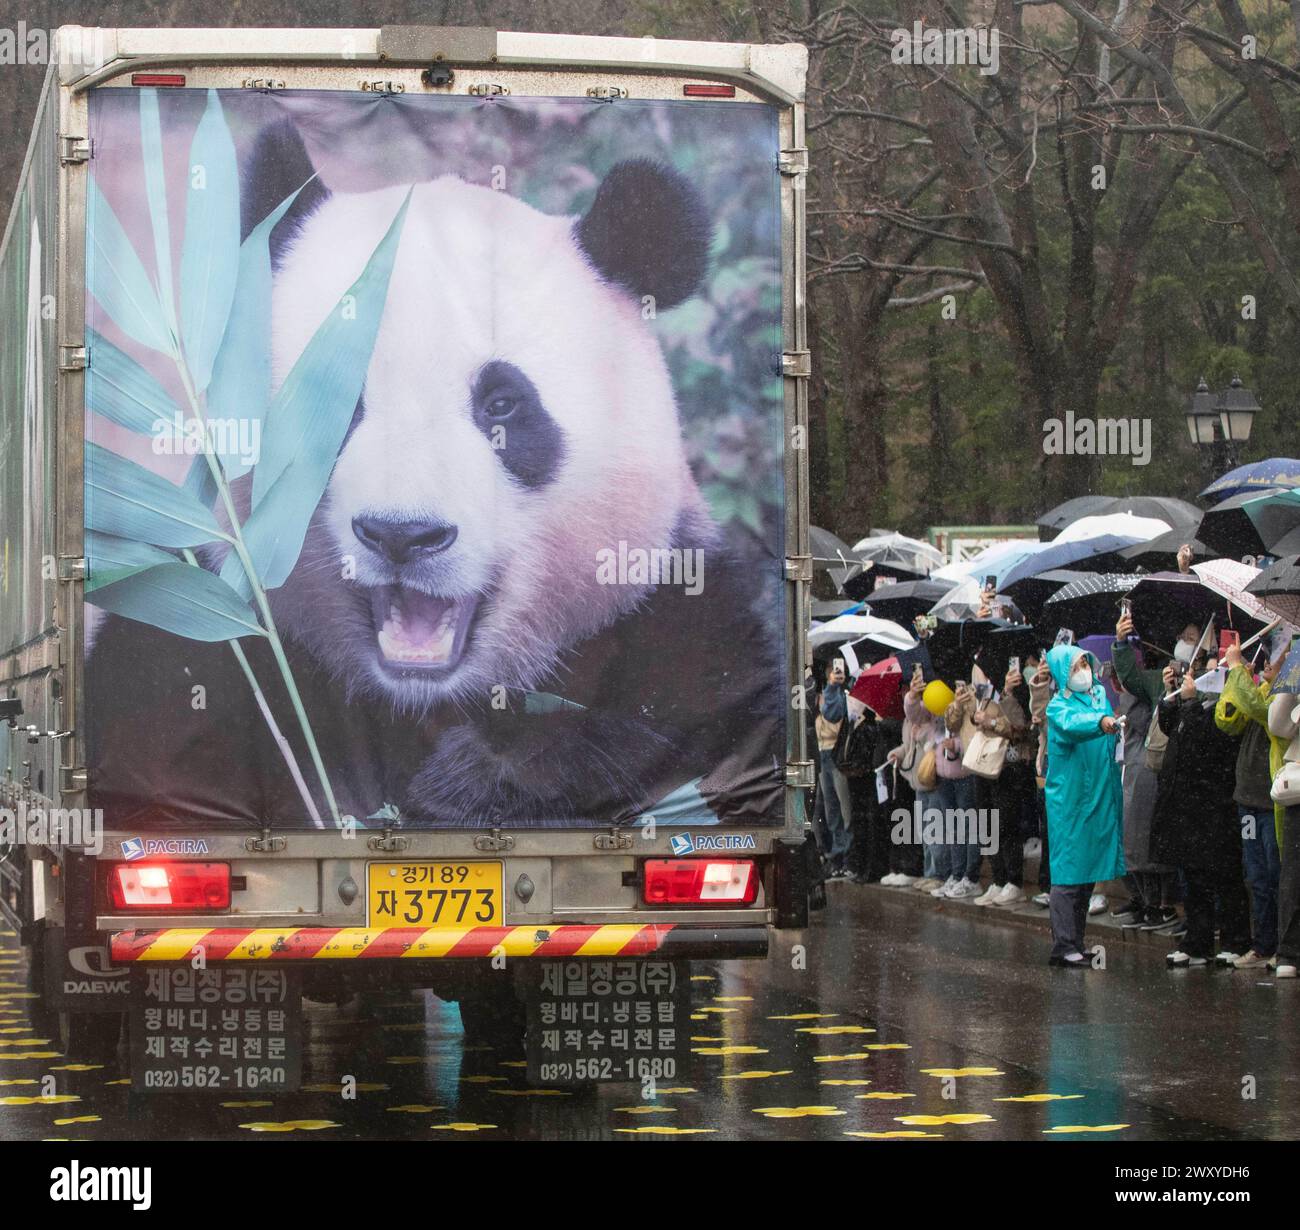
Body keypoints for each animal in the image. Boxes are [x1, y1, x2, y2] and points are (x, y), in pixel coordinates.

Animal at [86, 118, 785, 831]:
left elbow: (668, 733)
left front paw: (473, 782)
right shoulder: (205, 635)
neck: (421, 699)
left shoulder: (671, 624)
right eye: (334, 398)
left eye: (501, 405)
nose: (402, 534)